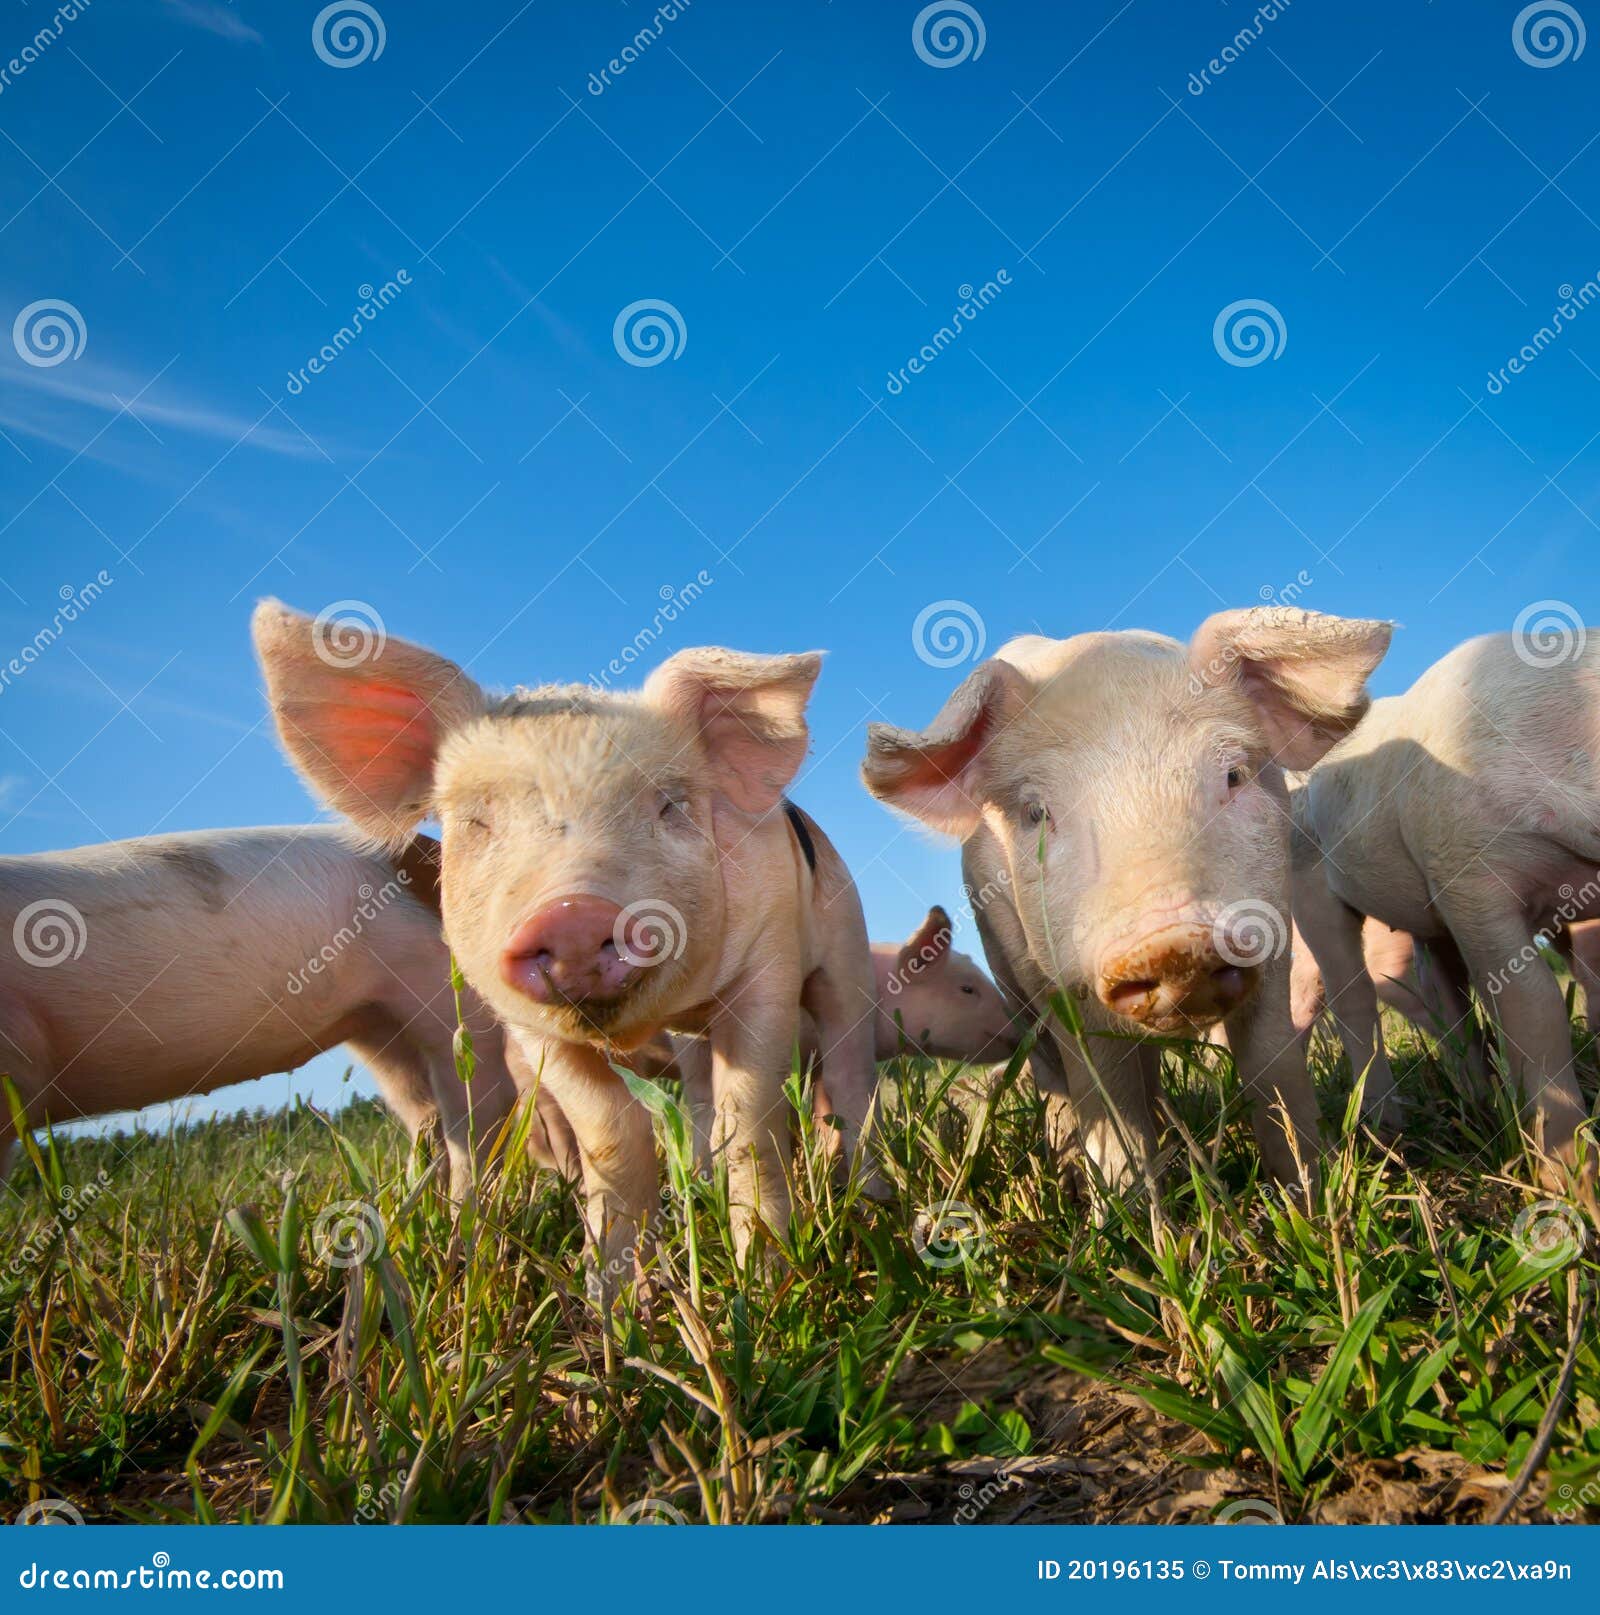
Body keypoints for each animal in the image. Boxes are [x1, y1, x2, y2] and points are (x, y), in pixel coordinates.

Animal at [251, 601, 881, 1275]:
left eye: (670, 805)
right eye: (475, 822)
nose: (572, 913)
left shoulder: (769, 957)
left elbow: (751, 1119)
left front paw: (764, 1274)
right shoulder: (526, 1027)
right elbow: (612, 1131)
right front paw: (612, 1286)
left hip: (847, 945)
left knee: (849, 1072)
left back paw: (874, 1199)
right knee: (700, 1098)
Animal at [862, 608, 1393, 1205]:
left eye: (1233, 774)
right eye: (1036, 812)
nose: (1171, 943)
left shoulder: (1274, 932)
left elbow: (1274, 1066)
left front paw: (1309, 1195)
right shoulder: (1057, 981)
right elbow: (1107, 1096)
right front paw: (1125, 1212)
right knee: (1055, 1079)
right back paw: (1072, 1172)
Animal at [1292, 630, 1600, 1189]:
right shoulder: (1469, 876)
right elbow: (1533, 1003)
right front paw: (1574, 1184)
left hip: (1428, 915)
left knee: (1444, 997)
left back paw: (1477, 1102)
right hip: (1310, 886)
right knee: (1351, 997)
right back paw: (1386, 1128)